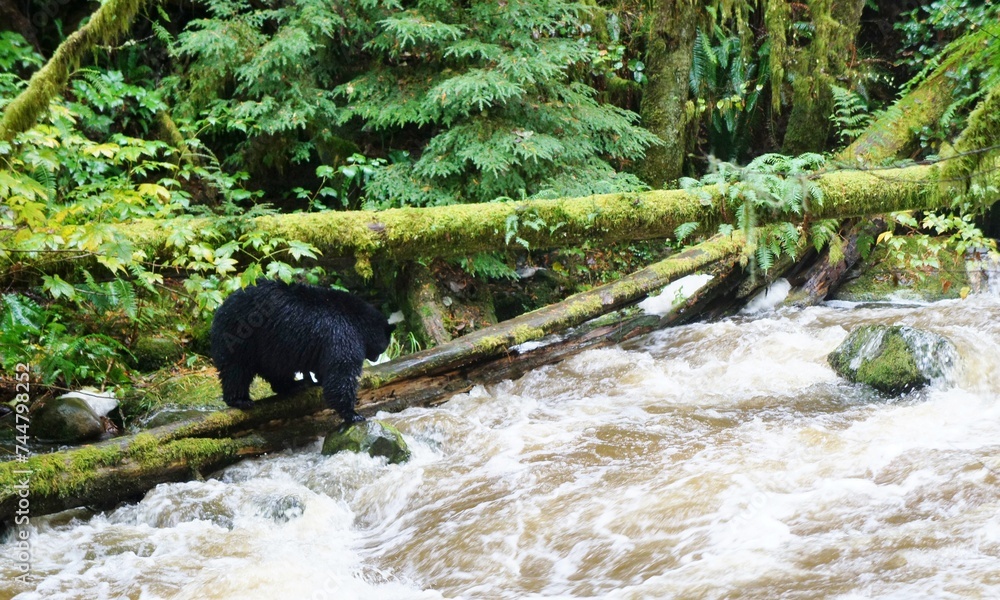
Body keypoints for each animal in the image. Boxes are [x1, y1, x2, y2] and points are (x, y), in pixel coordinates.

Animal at [210, 279, 393, 424]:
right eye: (384, 346)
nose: (376, 358)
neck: (357, 321)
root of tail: (221, 308)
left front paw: (318, 381)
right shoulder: (342, 334)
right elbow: (341, 372)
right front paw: (353, 414)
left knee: (275, 370)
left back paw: (294, 385)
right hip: (241, 336)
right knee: (237, 369)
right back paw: (241, 400)